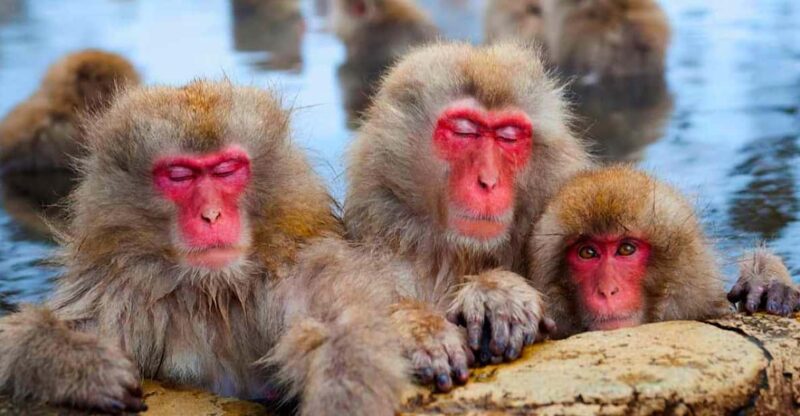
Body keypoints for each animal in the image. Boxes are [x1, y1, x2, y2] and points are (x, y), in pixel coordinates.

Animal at [0, 80, 408, 415]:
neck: (213, 292)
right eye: (180, 175)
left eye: (227, 169)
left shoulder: (299, 271)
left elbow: (343, 328)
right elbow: (14, 339)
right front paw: (78, 364)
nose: (211, 215)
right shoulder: (118, 292)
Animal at [343, 42, 593, 391]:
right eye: (464, 132)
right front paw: (420, 329)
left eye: (508, 136)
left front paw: (497, 293)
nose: (488, 181)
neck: (459, 255)